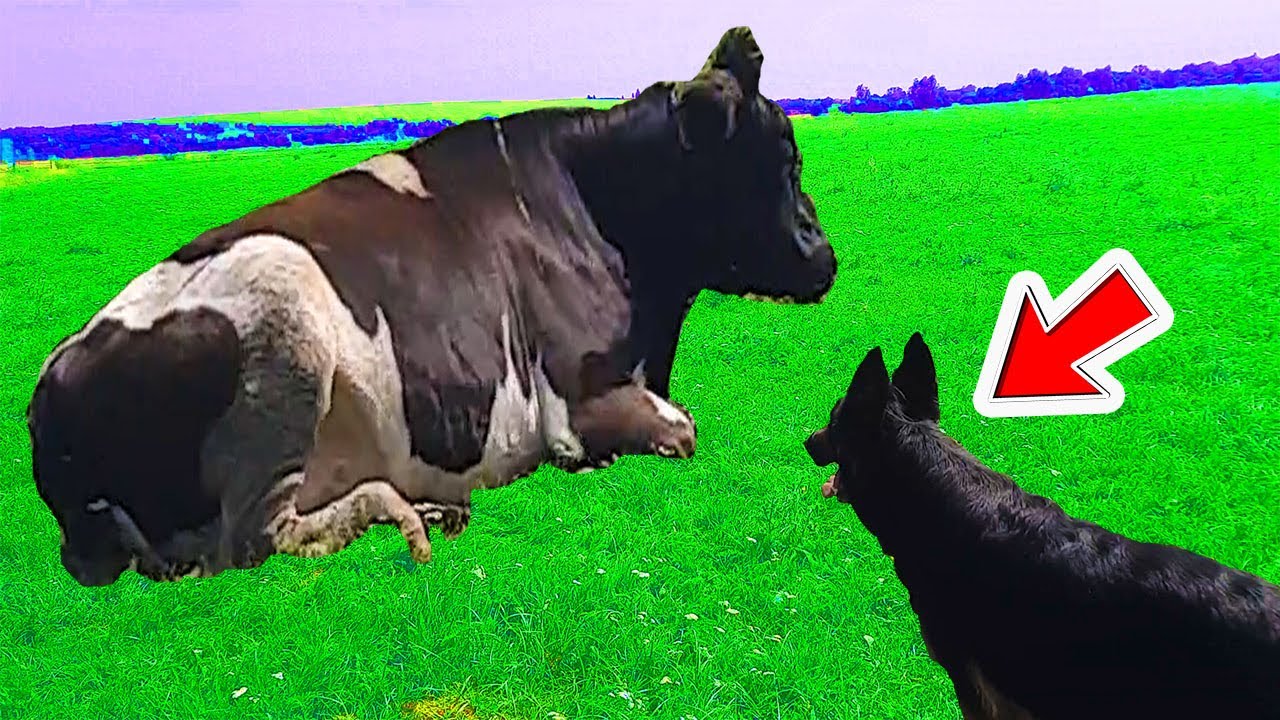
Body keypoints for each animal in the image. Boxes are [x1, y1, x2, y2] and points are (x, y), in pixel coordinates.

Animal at [27, 27, 837, 587]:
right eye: (784, 158)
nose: (825, 253)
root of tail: (50, 389)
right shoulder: (576, 401)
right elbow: (682, 431)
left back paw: (432, 509)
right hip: (283, 317)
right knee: (258, 540)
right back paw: (405, 517)